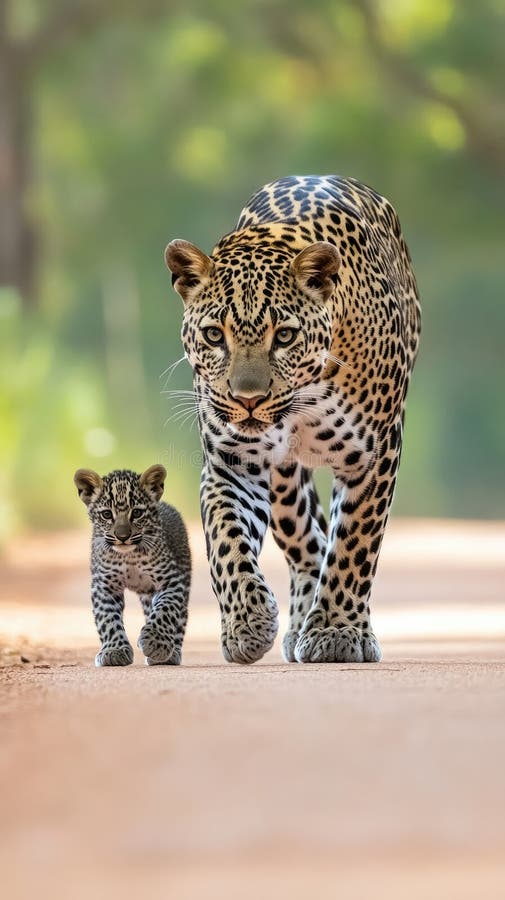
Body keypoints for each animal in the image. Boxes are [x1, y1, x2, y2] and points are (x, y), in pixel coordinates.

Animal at [74, 464, 191, 666]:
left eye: (136, 513)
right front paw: (114, 651)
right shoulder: (104, 586)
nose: (122, 536)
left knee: (179, 617)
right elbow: (108, 619)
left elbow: (165, 610)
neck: (129, 556)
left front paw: (156, 642)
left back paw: (170, 653)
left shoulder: (170, 581)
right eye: (107, 514)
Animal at [165, 175, 421, 665]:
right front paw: (245, 623)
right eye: (214, 335)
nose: (247, 400)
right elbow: (225, 540)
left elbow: (354, 544)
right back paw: (298, 619)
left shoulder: (375, 453)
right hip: (284, 483)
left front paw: (337, 631)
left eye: (284, 336)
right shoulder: (232, 464)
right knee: (307, 541)